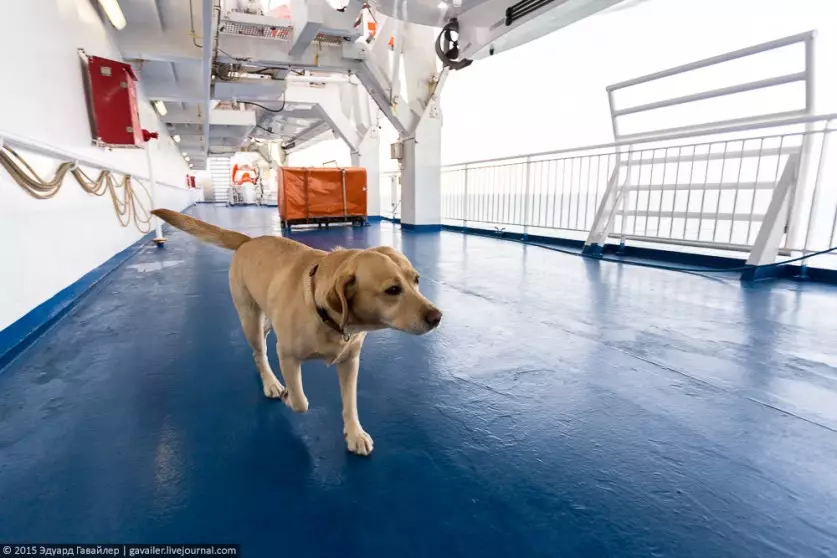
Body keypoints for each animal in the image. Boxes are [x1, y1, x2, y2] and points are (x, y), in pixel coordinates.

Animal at [153, 208, 440, 458]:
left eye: (416, 280)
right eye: (393, 290)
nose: (437, 317)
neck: (327, 317)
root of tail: (248, 241)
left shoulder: (350, 361)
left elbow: (350, 403)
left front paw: (355, 434)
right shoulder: (288, 356)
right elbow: (301, 401)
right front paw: (289, 398)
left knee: (265, 337)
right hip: (249, 318)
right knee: (260, 351)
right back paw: (270, 381)